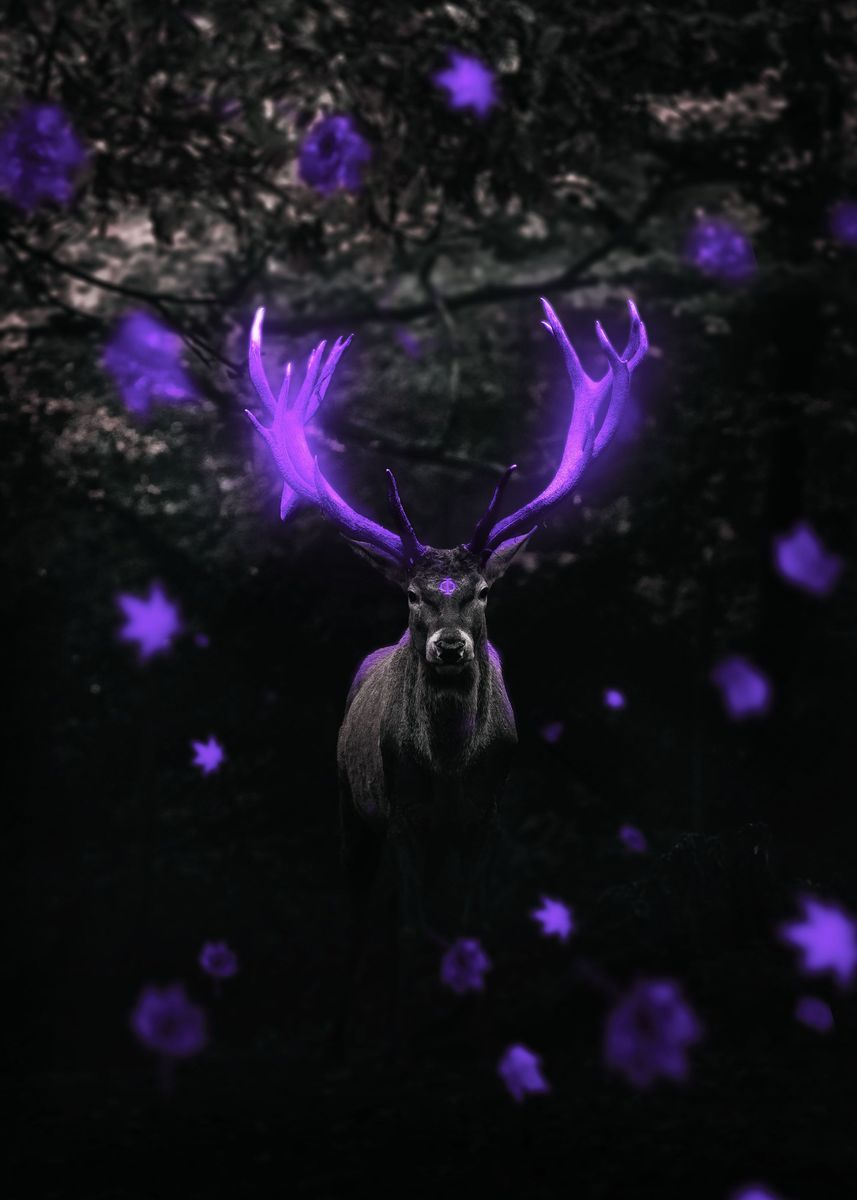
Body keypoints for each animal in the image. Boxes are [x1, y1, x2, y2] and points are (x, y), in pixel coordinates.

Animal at [244, 297, 647, 1041]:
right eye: (411, 594)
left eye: (483, 590)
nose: (450, 646)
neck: (451, 766)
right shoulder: (401, 812)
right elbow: (407, 928)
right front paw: (403, 1026)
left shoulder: (486, 817)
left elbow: (467, 926)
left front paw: (469, 1021)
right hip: (349, 803)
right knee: (360, 914)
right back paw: (341, 1033)